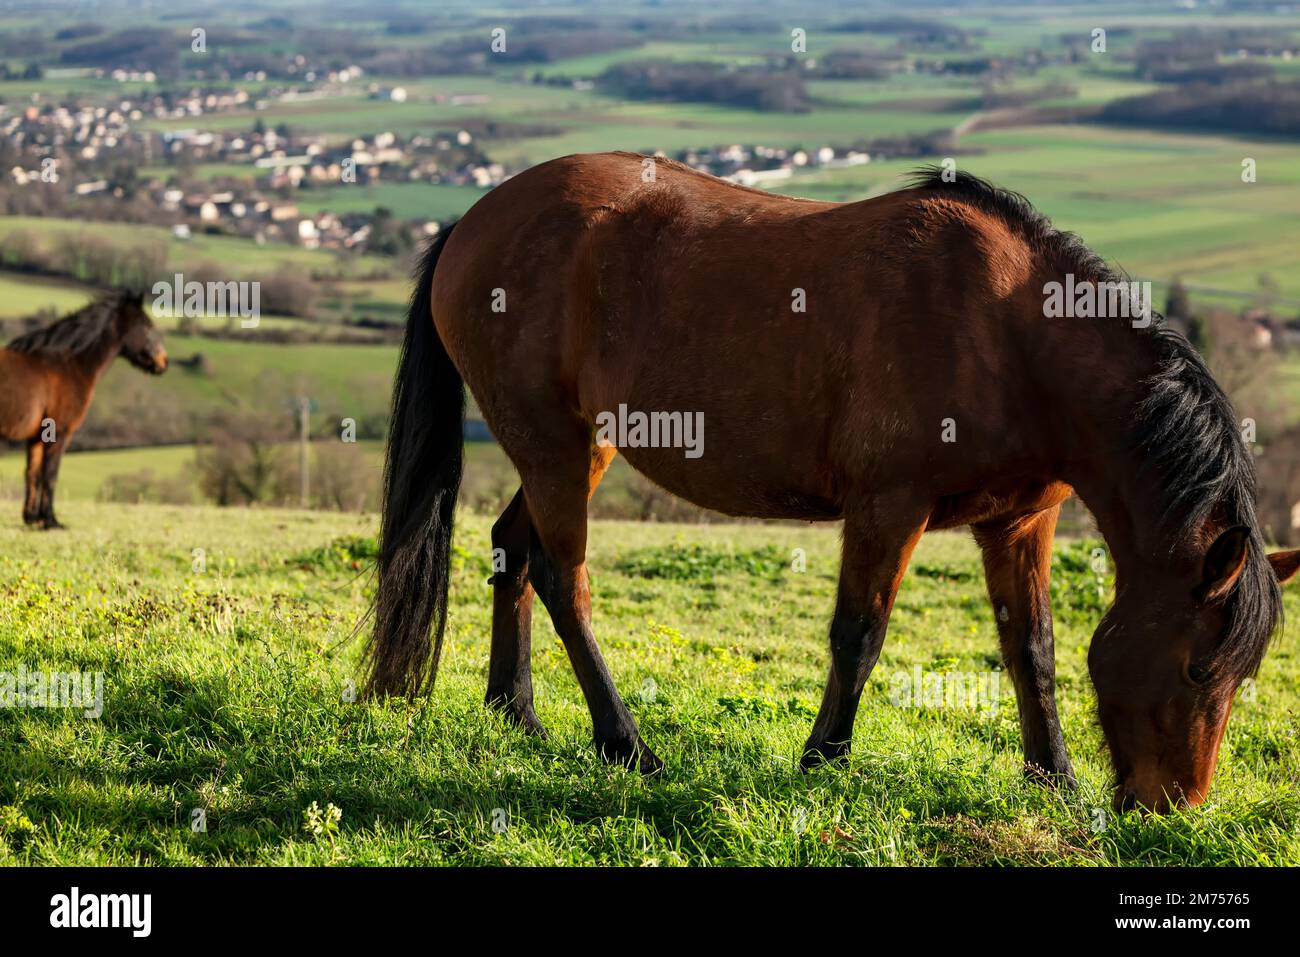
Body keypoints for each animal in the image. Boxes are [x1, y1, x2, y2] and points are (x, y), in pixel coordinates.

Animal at [0, 291, 167, 528]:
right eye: (147, 327)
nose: (163, 362)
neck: (69, 364)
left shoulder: (35, 437)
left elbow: (32, 474)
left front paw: (32, 518)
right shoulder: (59, 434)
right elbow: (50, 475)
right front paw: (50, 521)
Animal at [365, 152, 1300, 813]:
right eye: (1195, 668)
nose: (1171, 808)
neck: (1009, 336)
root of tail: (473, 219)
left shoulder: (1018, 523)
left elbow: (1031, 647)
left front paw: (1055, 776)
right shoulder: (888, 506)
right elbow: (860, 634)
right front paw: (823, 759)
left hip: (576, 446)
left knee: (511, 551)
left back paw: (515, 710)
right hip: (554, 446)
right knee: (566, 579)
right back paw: (625, 743)